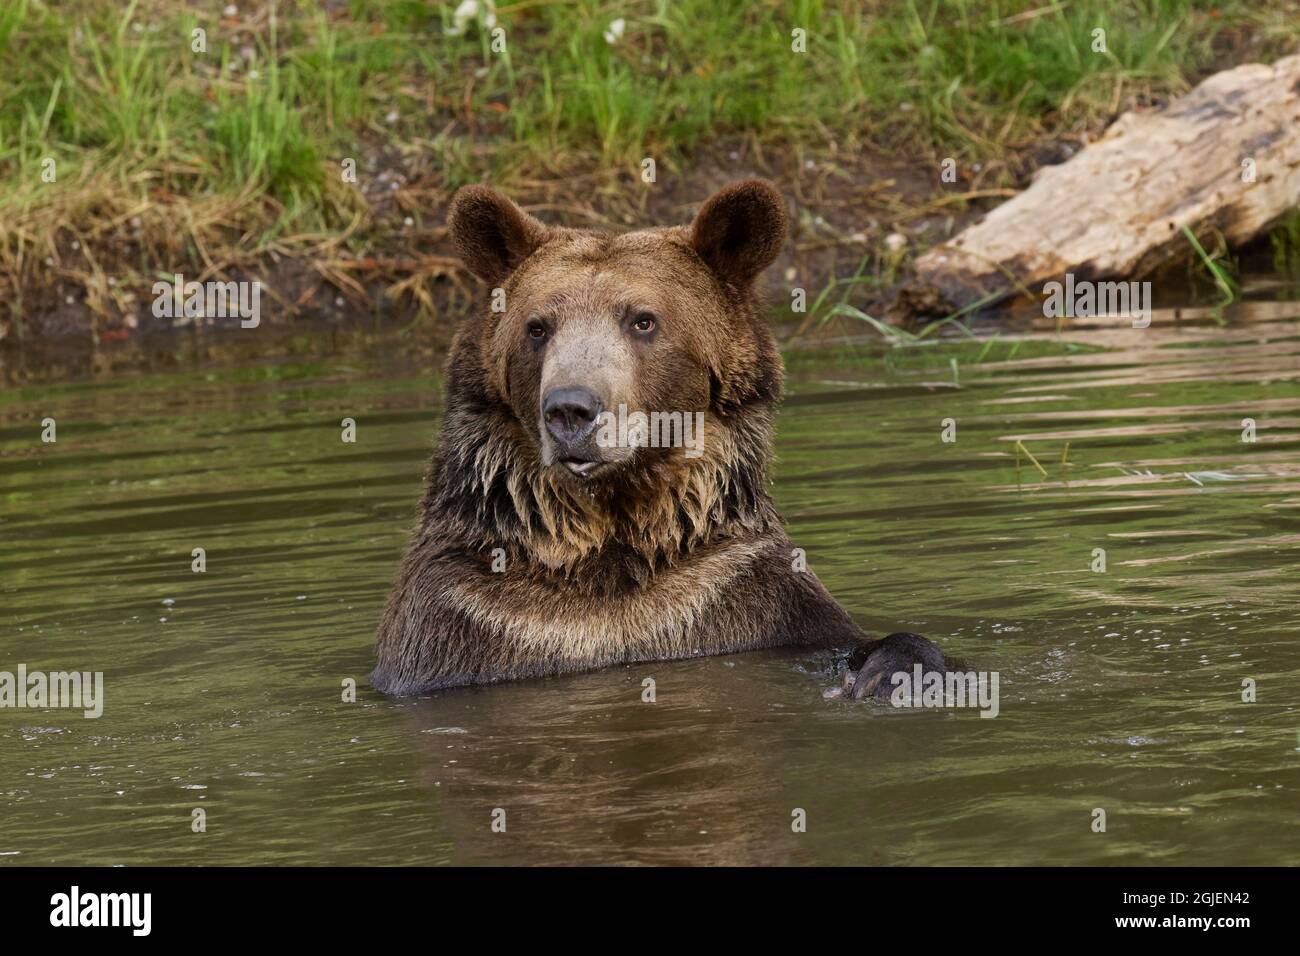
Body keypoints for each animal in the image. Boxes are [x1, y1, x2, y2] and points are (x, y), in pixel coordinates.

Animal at [371, 179, 948, 696]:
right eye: (537, 327)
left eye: (643, 321)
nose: (570, 409)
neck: (612, 536)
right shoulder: (469, 620)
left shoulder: (748, 596)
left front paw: (888, 672)